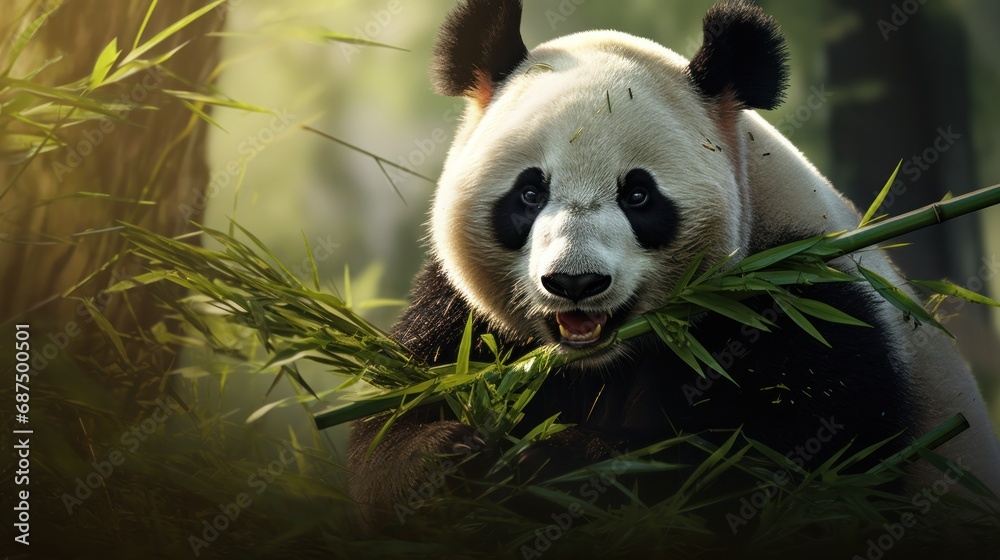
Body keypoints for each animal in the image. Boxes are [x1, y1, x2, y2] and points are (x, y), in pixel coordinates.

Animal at [349, 0, 1000, 532]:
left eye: (638, 195)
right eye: (530, 192)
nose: (575, 282)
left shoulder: (803, 299)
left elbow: (761, 464)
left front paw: (556, 465)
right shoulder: (461, 313)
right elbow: (396, 417)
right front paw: (449, 459)